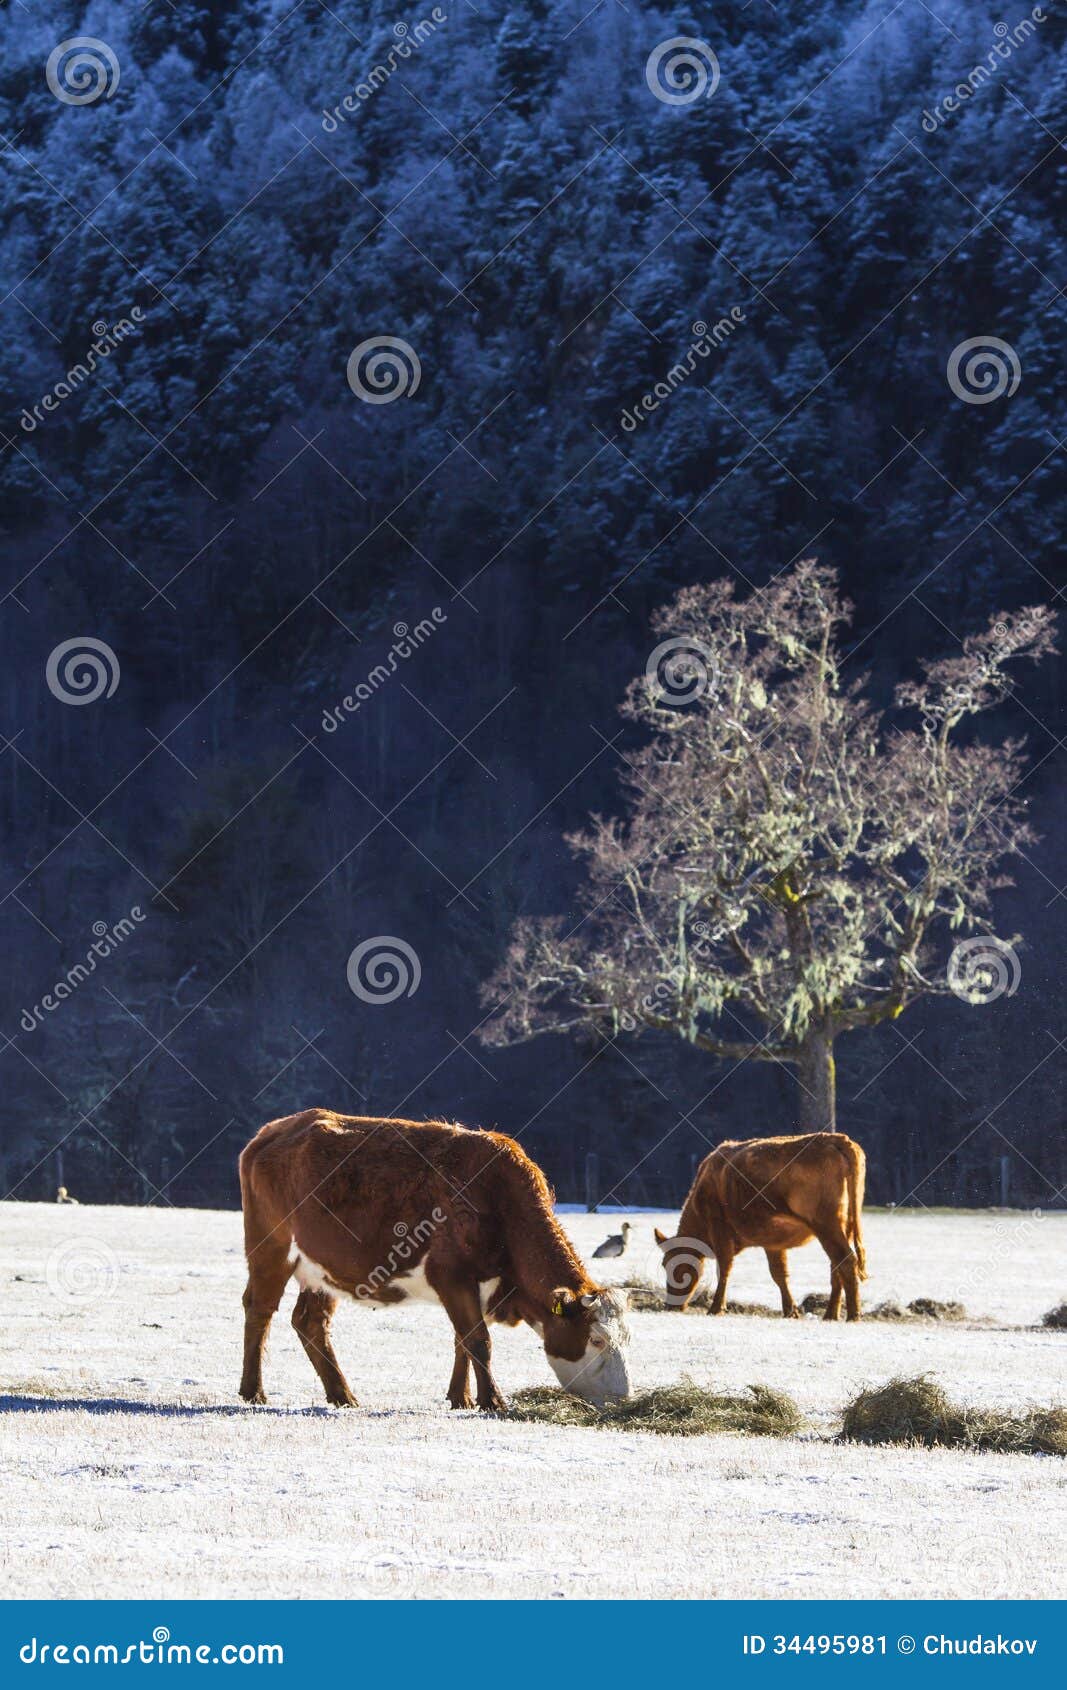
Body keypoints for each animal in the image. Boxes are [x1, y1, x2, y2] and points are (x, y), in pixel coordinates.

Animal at [239, 1109, 631, 1412]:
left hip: (323, 1268)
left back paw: (342, 1394)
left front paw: (462, 1398)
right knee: (259, 1310)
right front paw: (492, 1401)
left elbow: (463, 1340)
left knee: (311, 1322)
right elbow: (478, 1340)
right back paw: (253, 1390)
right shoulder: (452, 1276)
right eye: (597, 1340)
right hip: (271, 1248)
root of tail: (274, 1130)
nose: (622, 1398)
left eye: (626, 1338)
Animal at [654, 1132, 868, 1321]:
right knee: (836, 1266)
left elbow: (724, 1268)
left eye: (670, 1264)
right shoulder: (772, 1242)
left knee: (846, 1261)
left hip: (826, 1225)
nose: (670, 1305)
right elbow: (779, 1274)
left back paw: (852, 1315)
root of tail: (836, 1139)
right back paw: (831, 1315)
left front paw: (716, 1308)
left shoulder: (719, 1230)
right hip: (843, 1226)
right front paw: (790, 1311)